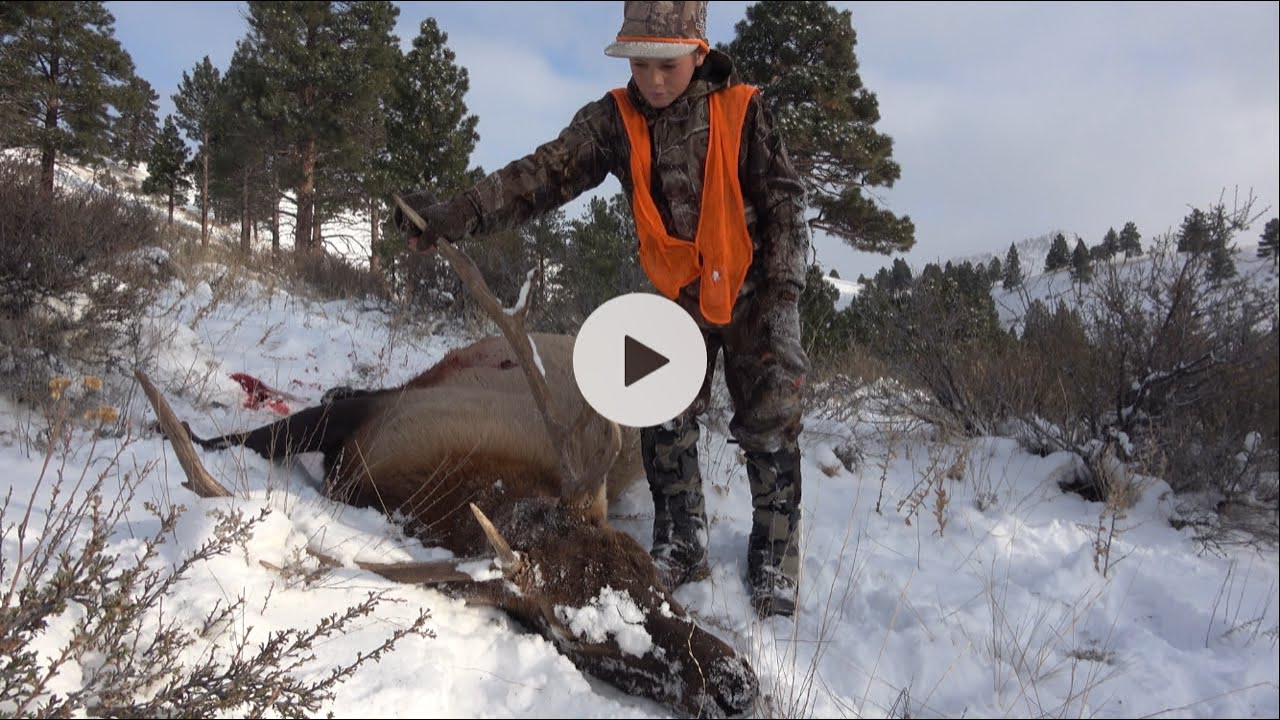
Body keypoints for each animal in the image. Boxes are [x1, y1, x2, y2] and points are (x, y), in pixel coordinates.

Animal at [133, 197, 759, 718]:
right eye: (579, 636)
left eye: (651, 576)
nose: (737, 685)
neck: (441, 481)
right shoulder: (377, 414)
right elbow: (249, 438)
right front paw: (170, 424)